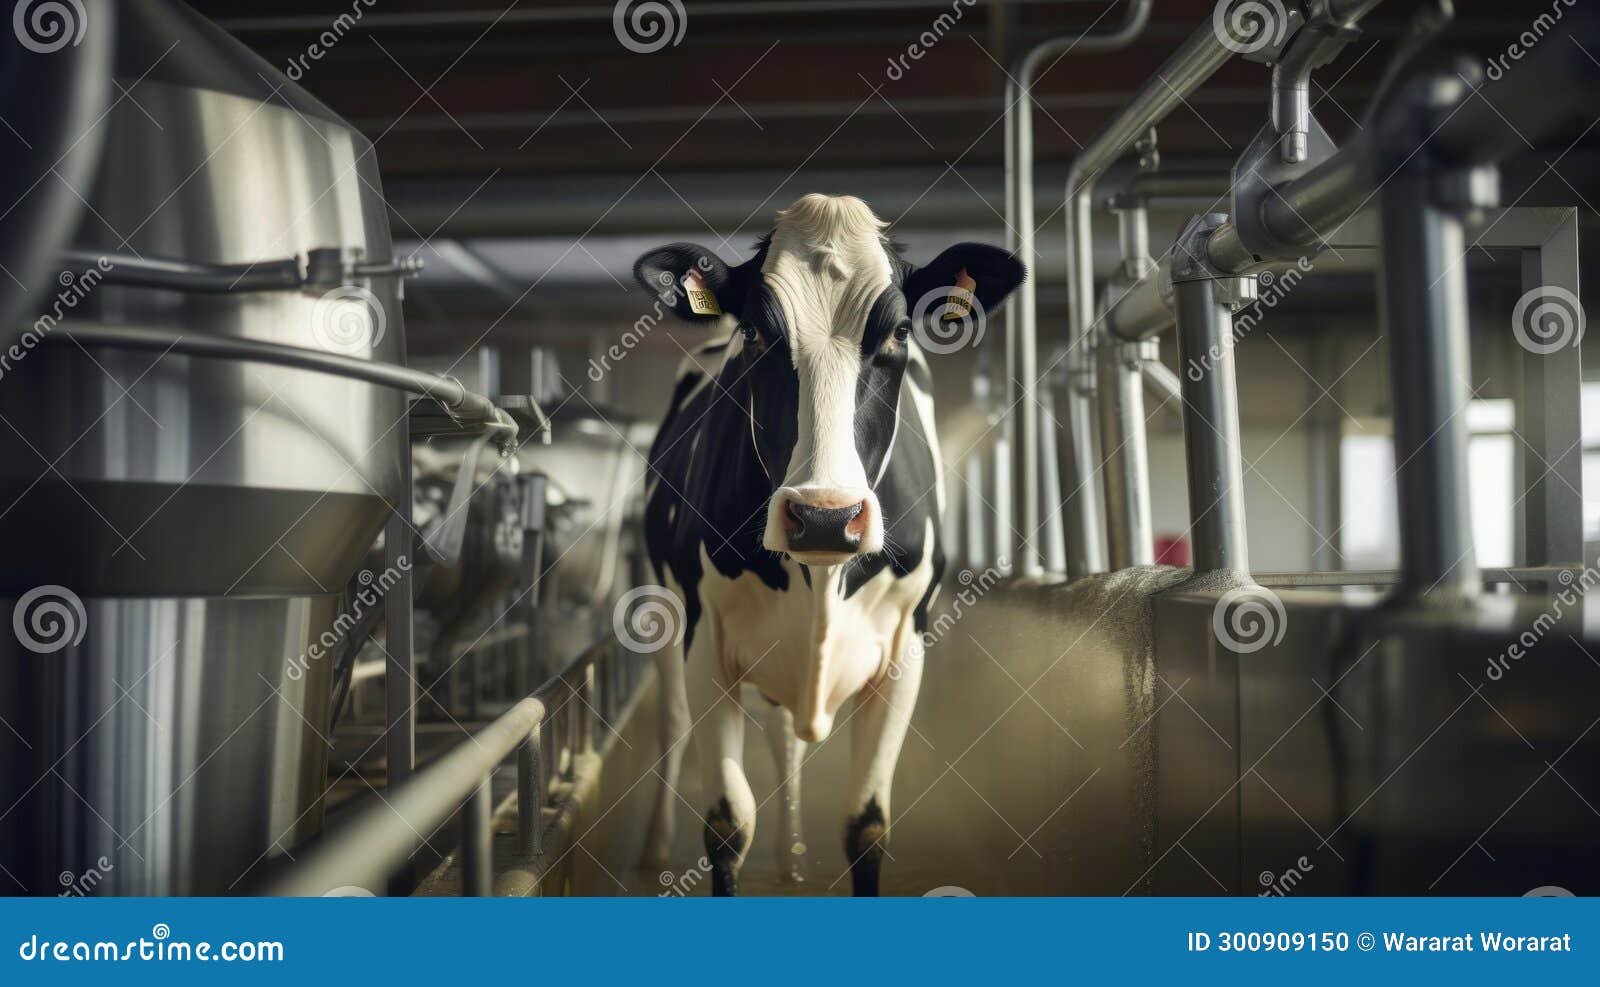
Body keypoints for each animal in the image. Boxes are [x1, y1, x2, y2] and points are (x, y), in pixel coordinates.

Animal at [631, 194, 1023, 895]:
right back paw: (654, 847)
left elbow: (865, 826)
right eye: (756, 332)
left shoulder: (904, 648)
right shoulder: (709, 641)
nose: (822, 517)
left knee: (786, 736)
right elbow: (726, 824)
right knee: (673, 722)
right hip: (665, 610)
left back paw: (792, 859)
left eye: (899, 332)